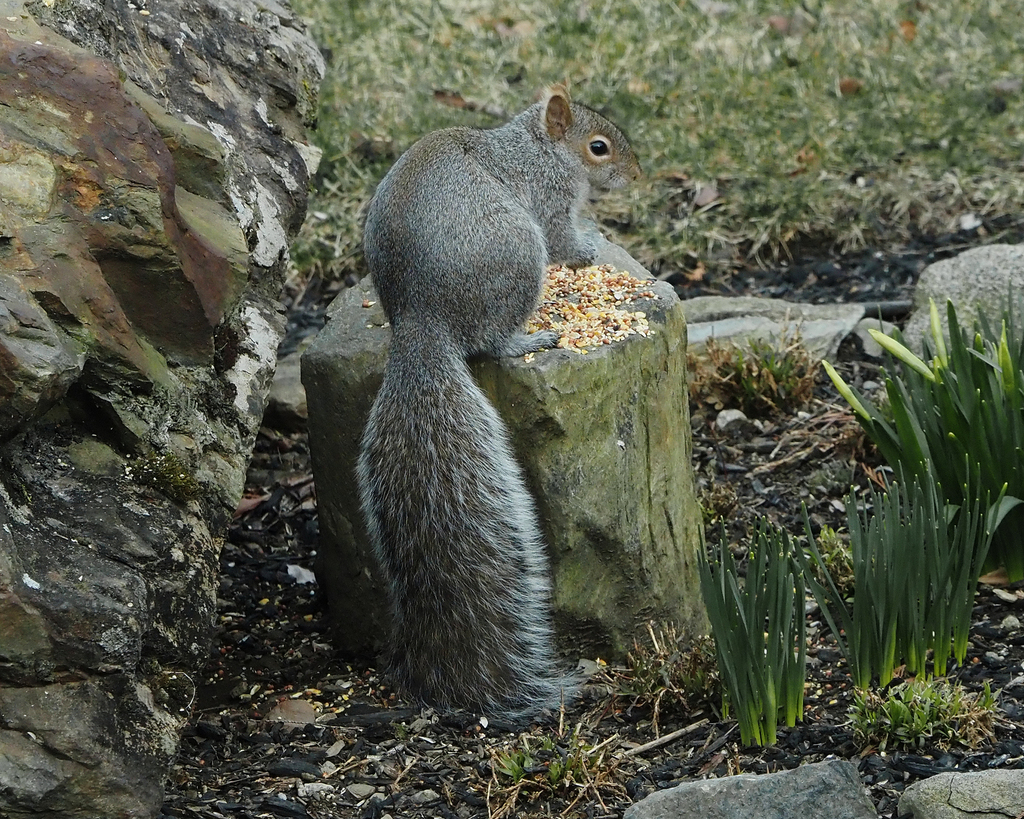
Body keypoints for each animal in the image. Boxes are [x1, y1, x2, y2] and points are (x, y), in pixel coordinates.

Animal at [357, 85, 641, 719]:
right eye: (599, 147)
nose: (636, 176)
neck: (535, 146)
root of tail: (422, 320)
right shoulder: (550, 202)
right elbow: (565, 240)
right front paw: (590, 248)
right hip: (516, 254)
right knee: (490, 340)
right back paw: (528, 339)